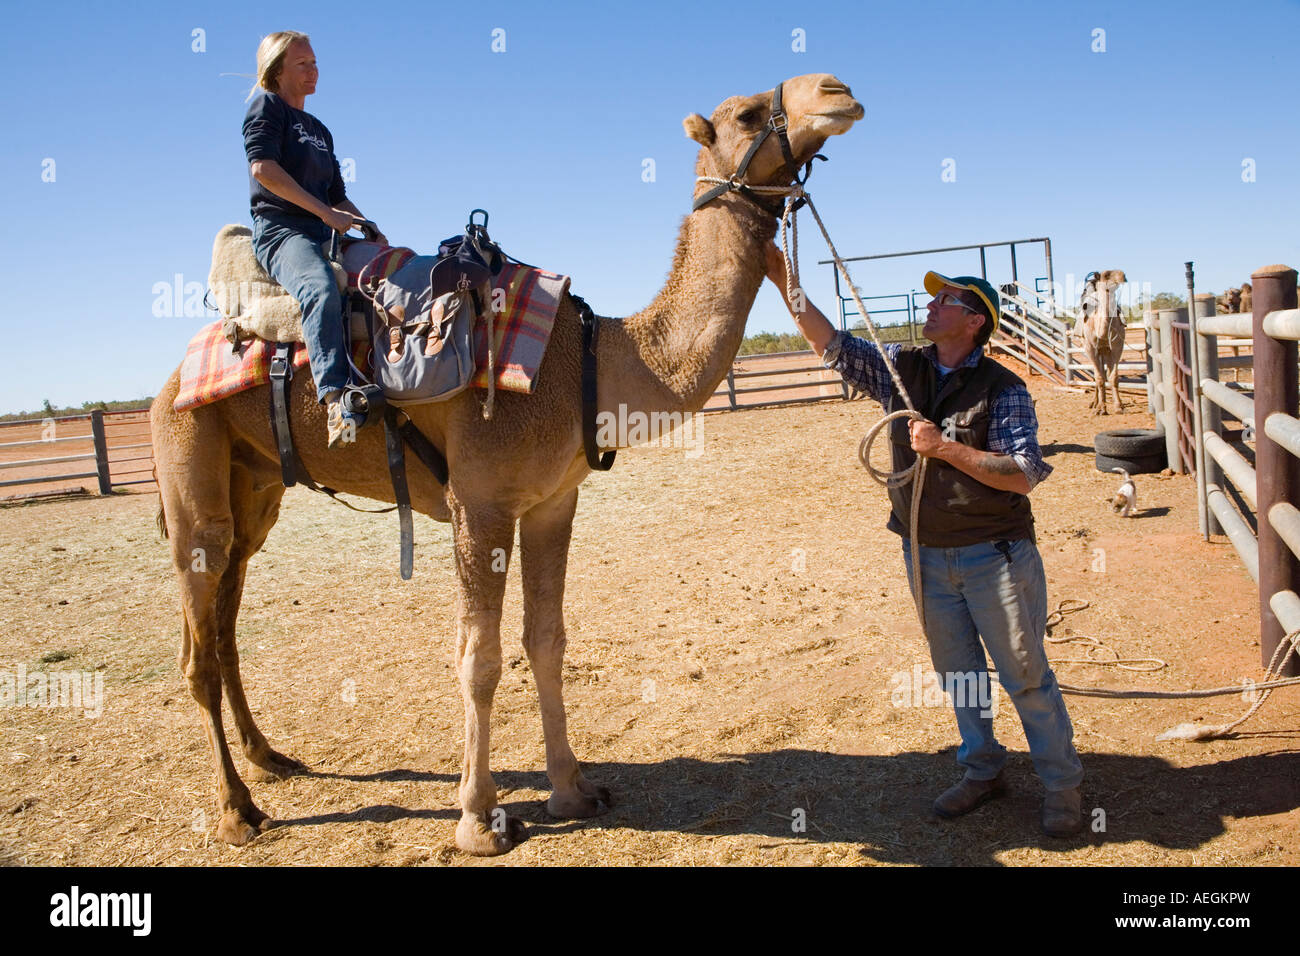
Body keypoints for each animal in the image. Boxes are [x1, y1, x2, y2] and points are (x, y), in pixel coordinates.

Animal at [150, 73, 864, 856]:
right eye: (746, 113)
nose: (836, 91)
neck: (594, 362)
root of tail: (168, 379)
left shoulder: (552, 500)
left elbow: (546, 641)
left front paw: (573, 790)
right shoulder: (481, 503)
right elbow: (479, 657)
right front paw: (478, 819)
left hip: (256, 488)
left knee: (225, 624)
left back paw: (269, 758)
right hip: (190, 462)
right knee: (198, 646)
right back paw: (236, 809)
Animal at [1074, 269, 1128, 414]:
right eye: (1106, 275)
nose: (1123, 276)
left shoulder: (1116, 347)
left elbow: (1113, 377)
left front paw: (1118, 406)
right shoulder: (1090, 348)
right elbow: (1099, 378)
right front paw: (1100, 408)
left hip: (1105, 351)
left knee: (1104, 373)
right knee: (1097, 375)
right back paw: (1094, 403)